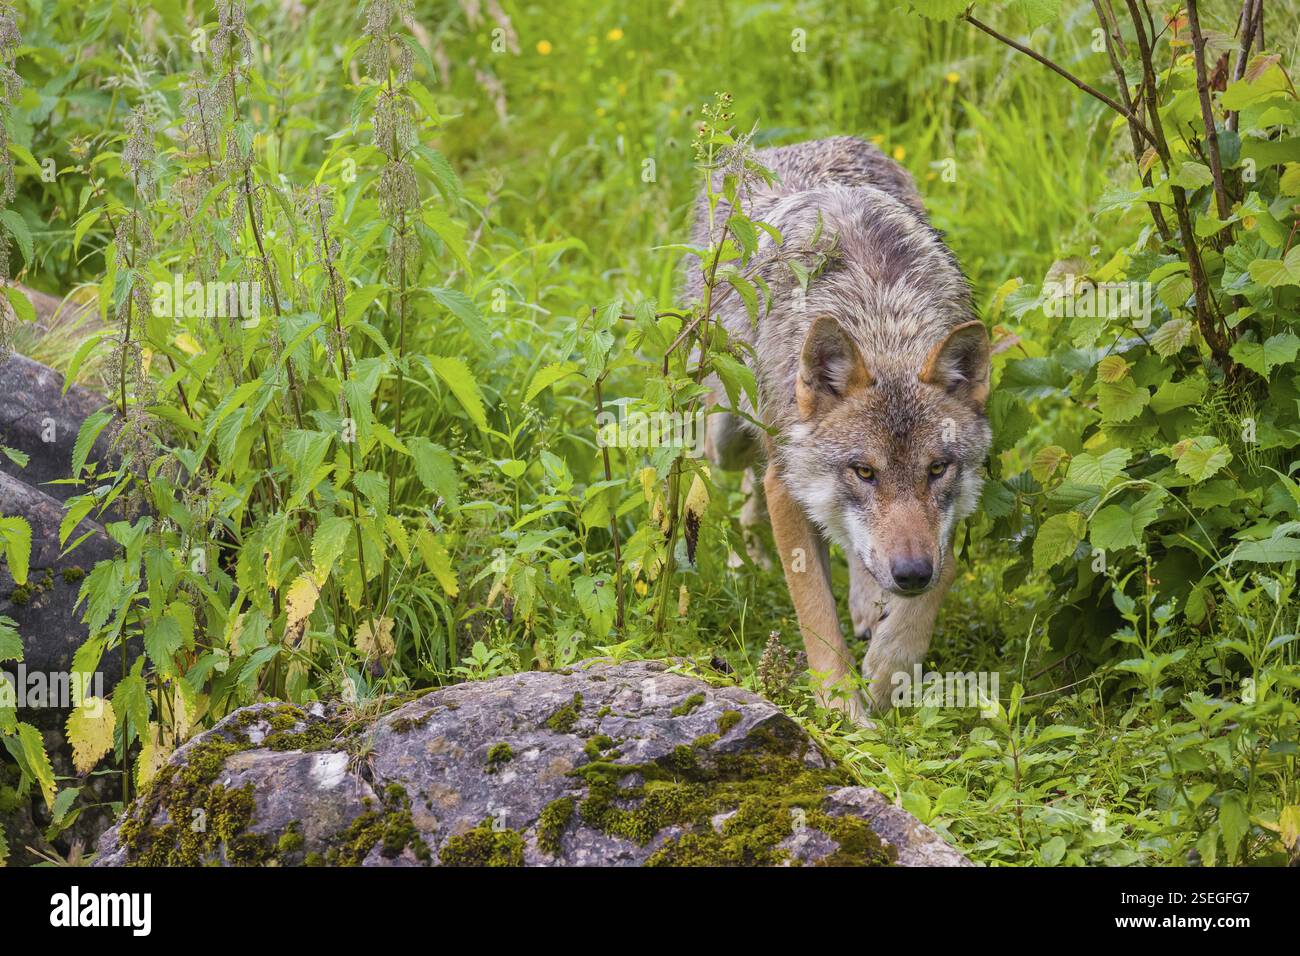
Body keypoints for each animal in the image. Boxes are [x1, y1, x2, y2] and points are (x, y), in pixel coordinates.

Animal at [686, 136, 991, 720]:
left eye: (937, 469)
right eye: (864, 472)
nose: (910, 574)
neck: (880, 320)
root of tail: (786, 145)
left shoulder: (956, 505)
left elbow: (939, 580)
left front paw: (889, 668)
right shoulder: (787, 486)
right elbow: (816, 616)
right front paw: (842, 710)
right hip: (727, 434)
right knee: (732, 471)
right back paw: (744, 552)